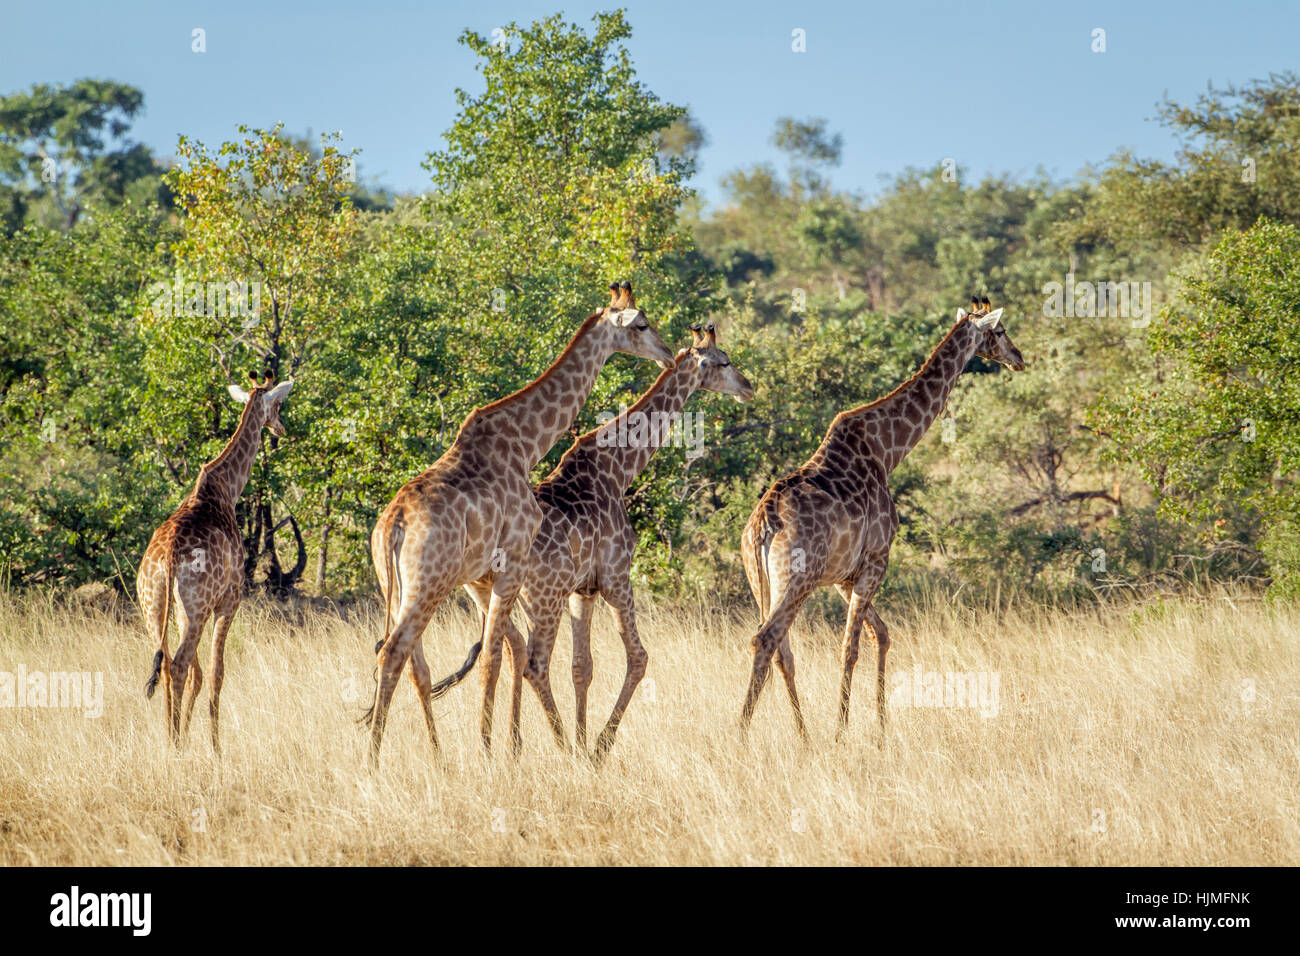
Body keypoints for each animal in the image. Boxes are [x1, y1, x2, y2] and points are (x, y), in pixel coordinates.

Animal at [138, 373, 294, 752]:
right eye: (278, 404)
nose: (281, 428)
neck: (225, 489)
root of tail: (166, 560)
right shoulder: (229, 599)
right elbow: (216, 671)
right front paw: (215, 747)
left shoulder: (190, 611)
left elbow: (199, 673)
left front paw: (189, 734)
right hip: (194, 610)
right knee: (179, 666)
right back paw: (175, 746)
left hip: (156, 609)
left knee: (167, 664)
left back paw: (171, 740)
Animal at [366, 280, 675, 766]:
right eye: (641, 324)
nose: (667, 353)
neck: (526, 445)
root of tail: (392, 525)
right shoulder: (510, 561)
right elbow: (497, 656)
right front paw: (489, 750)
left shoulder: (490, 575)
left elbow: (503, 653)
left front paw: (498, 746)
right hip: (428, 585)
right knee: (394, 652)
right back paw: (375, 760)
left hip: (391, 584)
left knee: (411, 660)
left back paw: (435, 756)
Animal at [432, 324, 754, 762]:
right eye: (724, 361)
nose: (748, 387)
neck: (619, 469)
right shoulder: (616, 577)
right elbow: (638, 658)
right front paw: (597, 747)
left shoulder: (581, 591)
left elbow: (581, 667)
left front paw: (585, 741)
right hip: (542, 596)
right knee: (534, 663)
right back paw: (557, 746)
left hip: (491, 596)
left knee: (511, 653)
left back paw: (515, 746)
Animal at [738, 296, 1025, 739]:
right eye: (1001, 330)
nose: (1020, 358)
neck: (888, 451)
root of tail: (761, 527)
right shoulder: (876, 560)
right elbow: (851, 646)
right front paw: (842, 731)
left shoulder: (845, 575)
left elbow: (883, 635)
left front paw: (880, 725)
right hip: (796, 580)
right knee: (765, 640)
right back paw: (742, 734)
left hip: (760, 582)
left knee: (781, 650)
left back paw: (803, 737)